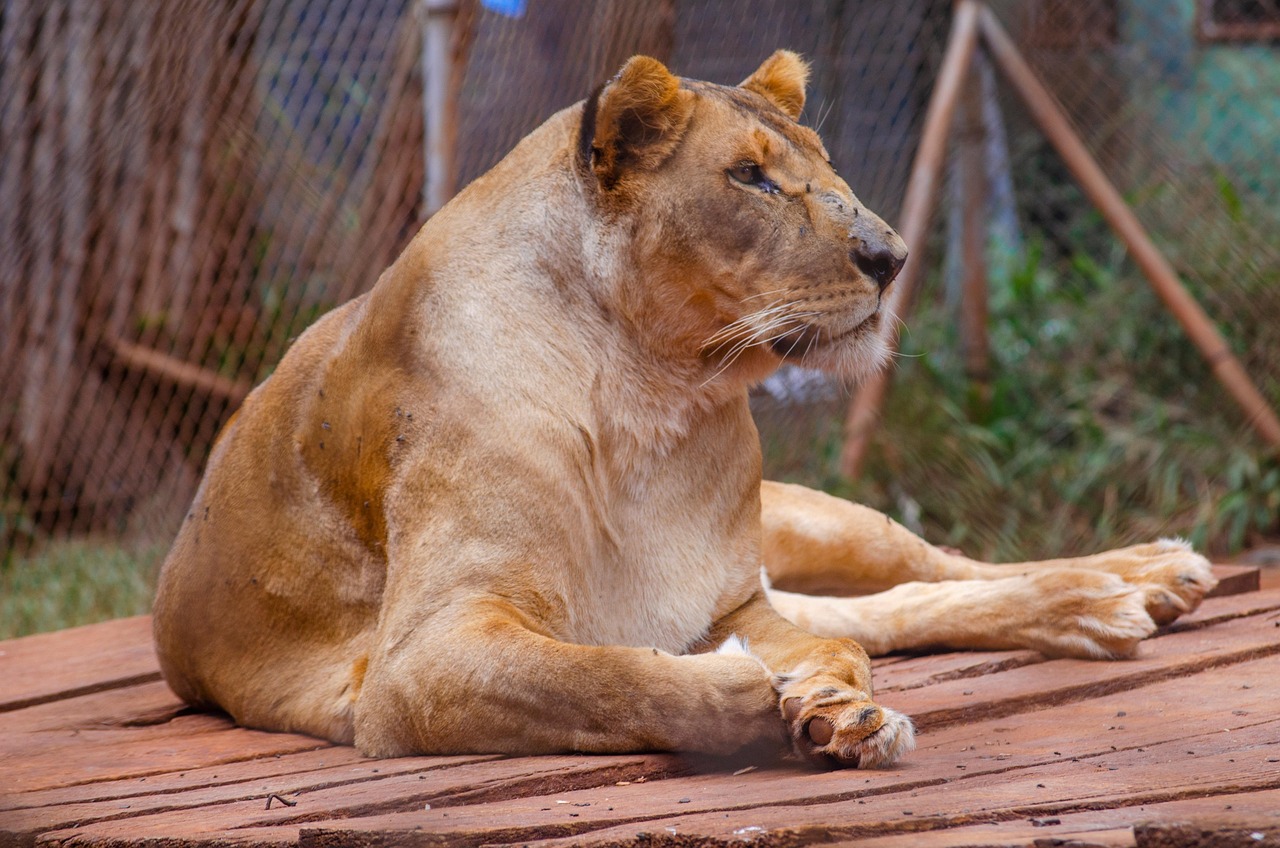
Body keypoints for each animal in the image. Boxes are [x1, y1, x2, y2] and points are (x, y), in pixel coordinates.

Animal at [152, 51, 1215, 770]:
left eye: (824, 164)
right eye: (750, 176)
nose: (893, 256)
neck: (653, 397)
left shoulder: (732, 597)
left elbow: (835, 644)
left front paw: (834, 706)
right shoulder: (420, 660)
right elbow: (605, 674)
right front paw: (776, 700)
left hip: (815, 521)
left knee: (929, 573)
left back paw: (1136, 582)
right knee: (887, 610)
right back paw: (1120, 600)